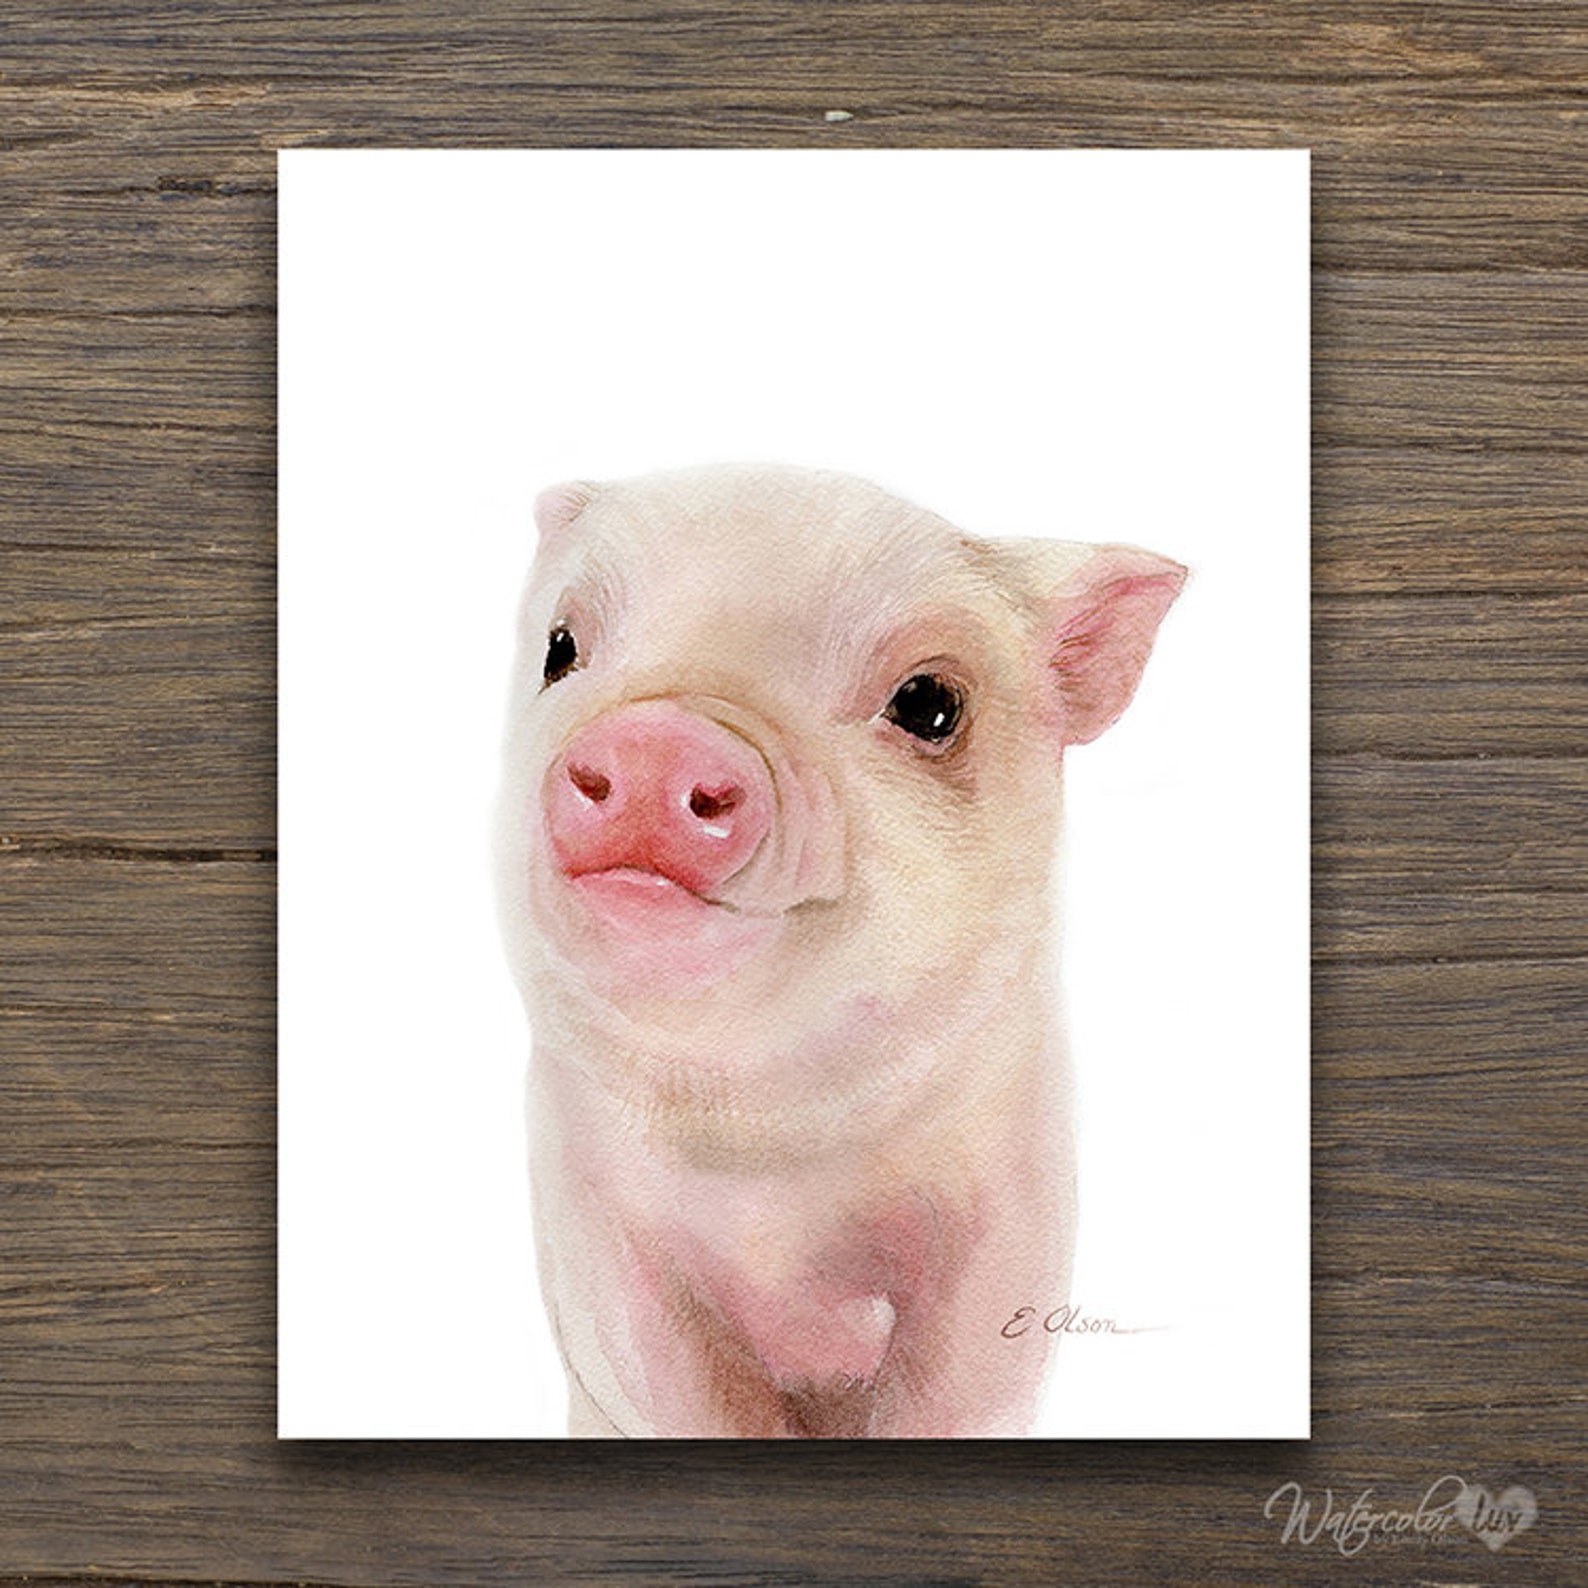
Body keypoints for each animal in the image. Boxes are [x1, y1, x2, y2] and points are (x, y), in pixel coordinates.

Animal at [495, 464, 1183, 1437]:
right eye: (560, 649)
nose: (655, 738)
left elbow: (963, 1384)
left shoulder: (1013, 1213)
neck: (768, 1157)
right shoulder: (590, 1227)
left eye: (930, 704)